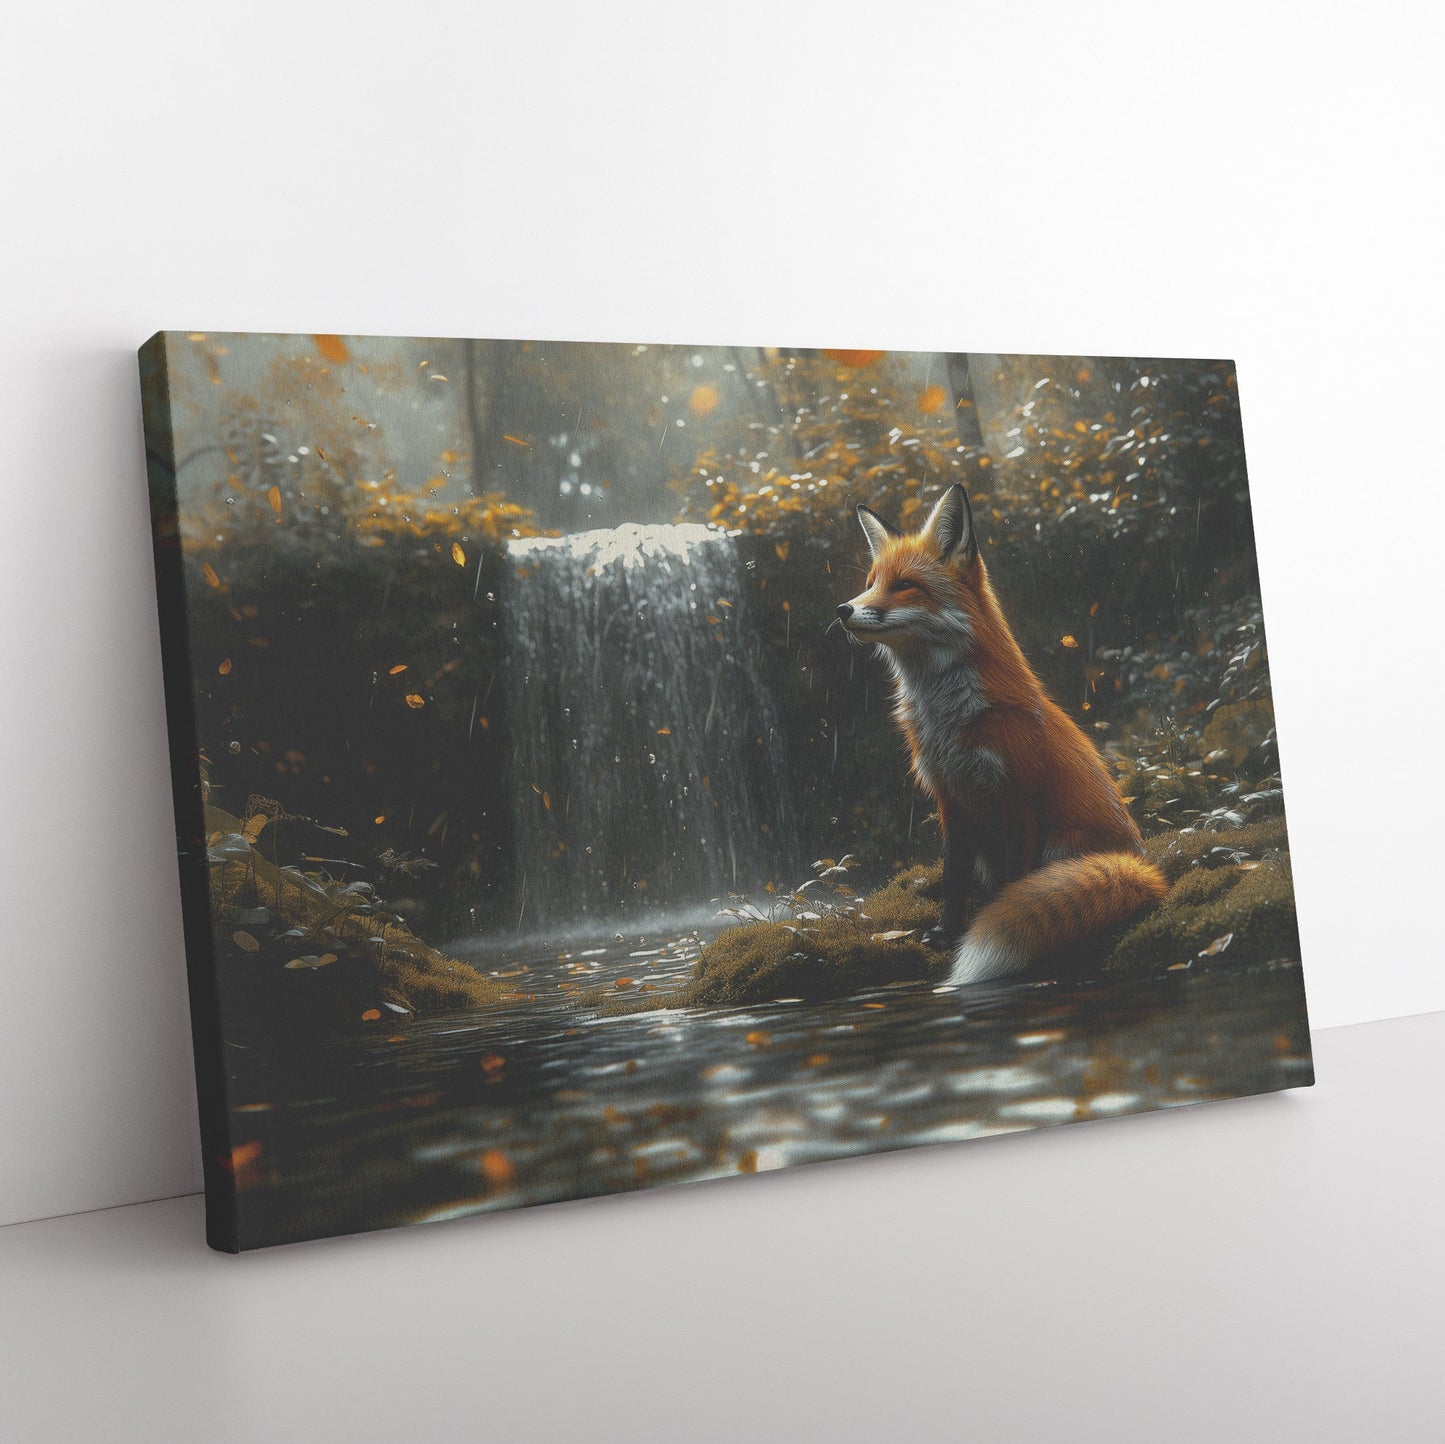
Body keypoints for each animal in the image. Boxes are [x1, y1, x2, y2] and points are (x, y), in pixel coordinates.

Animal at [837, 483, 1167, 985]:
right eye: (872, 581)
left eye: (905, 585)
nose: (843, 610)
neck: (949, 720)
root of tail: (1143, 864)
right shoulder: (950, 798)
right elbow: (953, 878)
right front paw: (946, 932)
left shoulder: (1019, 795)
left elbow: (1017, 882)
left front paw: (992, 919)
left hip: (1063, 842)